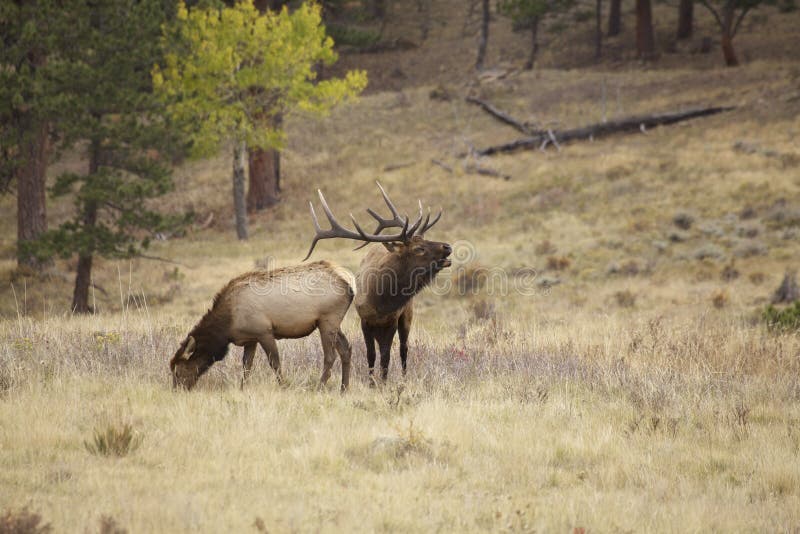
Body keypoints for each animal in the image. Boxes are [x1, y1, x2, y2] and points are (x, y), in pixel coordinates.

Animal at [169, 261, 354, 391]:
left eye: (178, 371)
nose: (176, 391)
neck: (227, 325)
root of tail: (350, 282)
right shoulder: (250, 338)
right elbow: (246, 366)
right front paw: (242, 389)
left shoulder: (264, 332)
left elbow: (275, 363)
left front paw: (284, 387)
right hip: (331, 323)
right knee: (346, 349)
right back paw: (344, 389)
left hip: (327, 319)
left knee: (330, 356)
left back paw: (319, 387)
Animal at [304, 182, 451, 383]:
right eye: (419, 248)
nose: (448, 246)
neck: (381, 301)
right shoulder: (364, 319)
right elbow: (371, 354)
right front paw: (372, 382)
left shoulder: (392, 319)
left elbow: (386, 355)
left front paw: (383, 382)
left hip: (407, 315)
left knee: (404, 349)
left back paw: (404, 377)